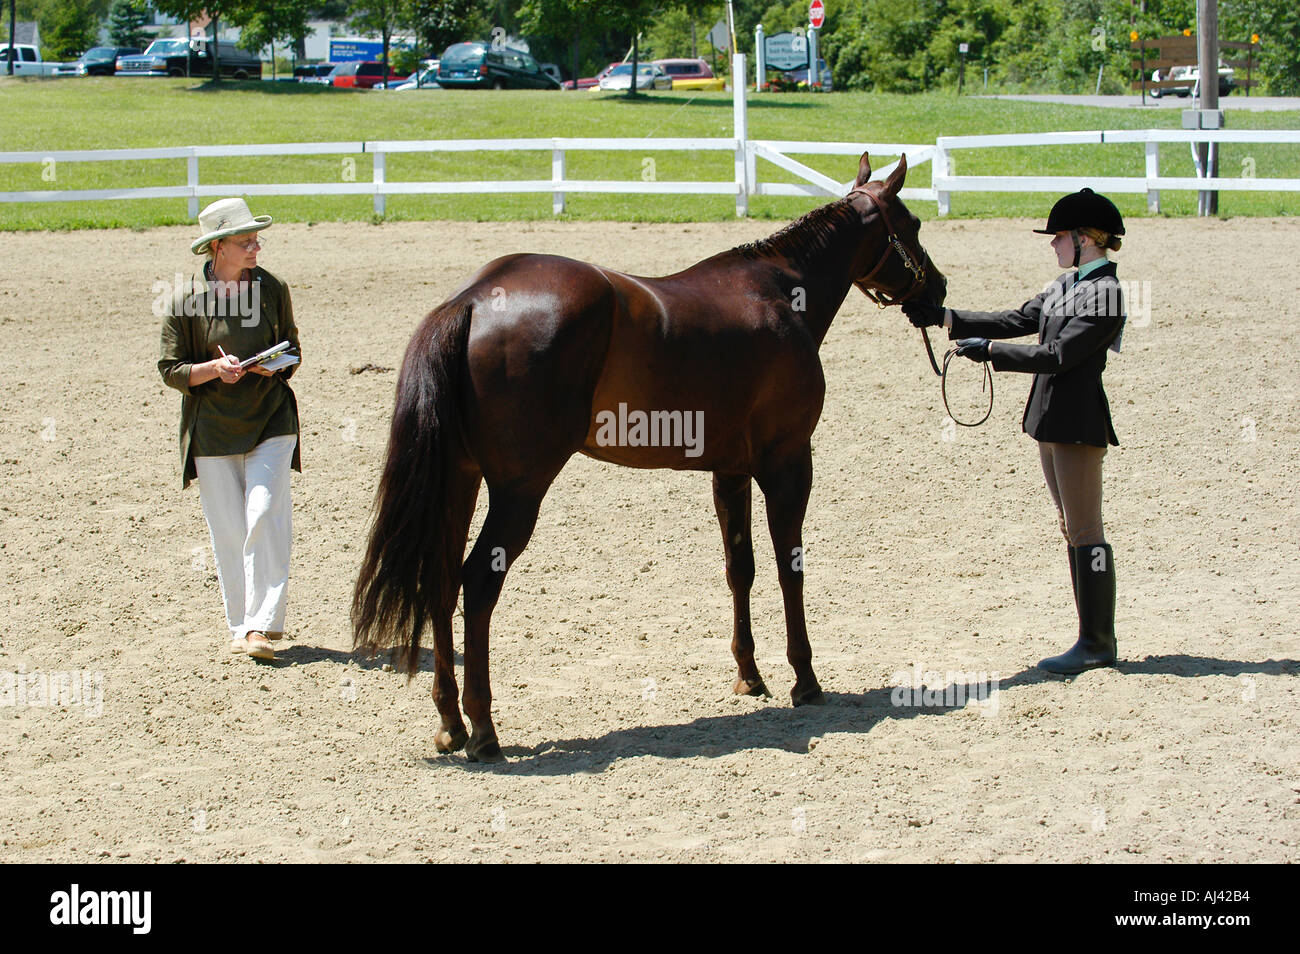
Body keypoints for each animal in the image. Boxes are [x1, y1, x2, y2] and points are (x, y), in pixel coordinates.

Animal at [353, 152, 947, 762]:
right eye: (914, 224)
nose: (939, 290)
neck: (781, 292)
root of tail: (473, 297)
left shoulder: (730, 471)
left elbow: (741, 568)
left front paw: (749, 674)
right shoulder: (788, 462)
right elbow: (790, 568)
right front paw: (804, 679)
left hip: (461, 480)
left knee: (442, 578)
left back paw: (450, 720)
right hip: (520, 491)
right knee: (476, 584)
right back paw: (483, 729)